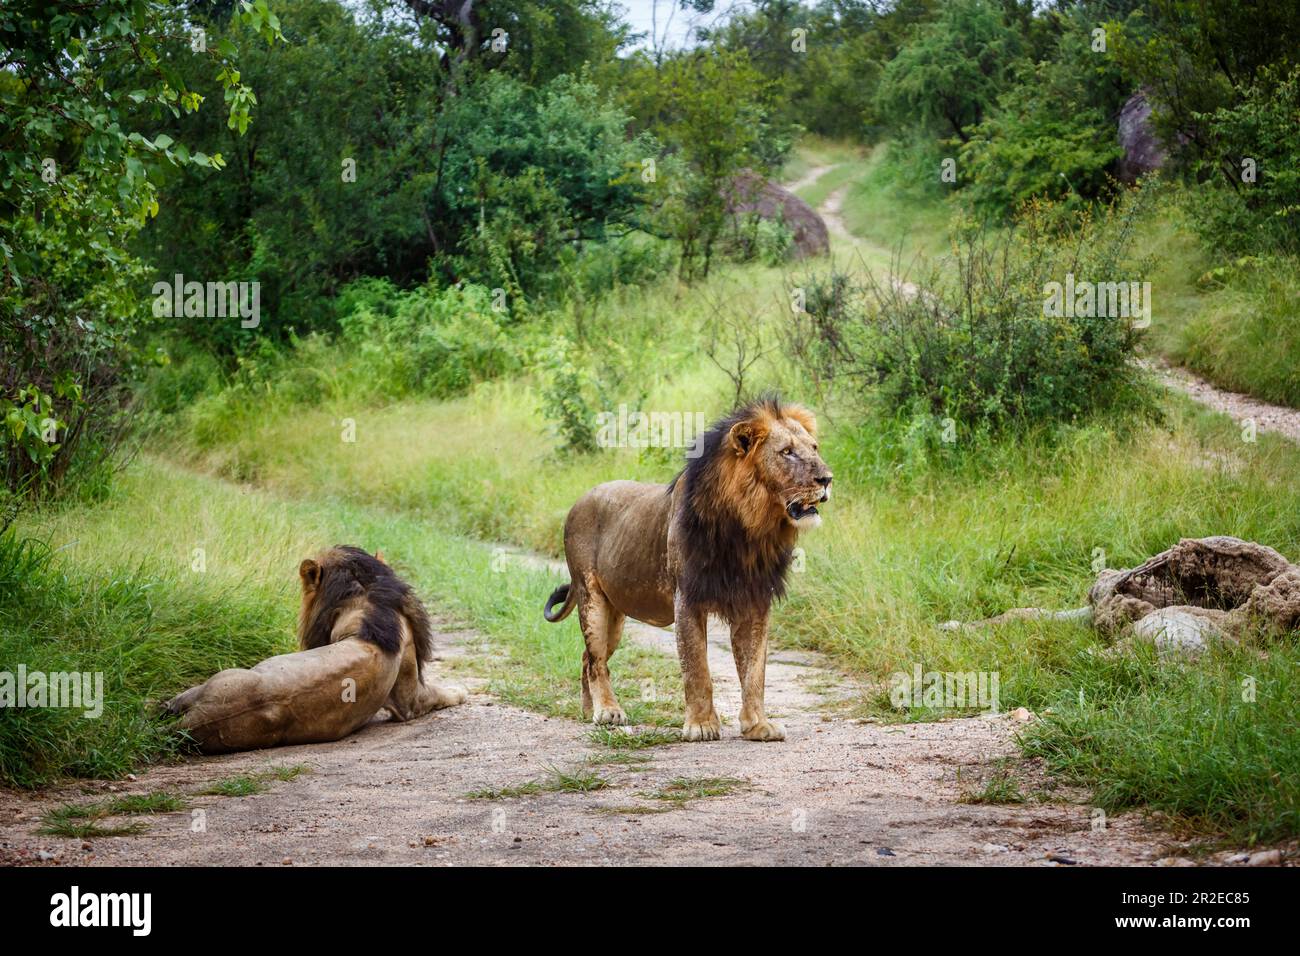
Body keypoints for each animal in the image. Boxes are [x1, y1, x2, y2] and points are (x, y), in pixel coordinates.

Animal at [165, 546, 466, 753]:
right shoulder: (409, 699)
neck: (366, 600)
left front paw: (461, 691)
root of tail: (200, 719)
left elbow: (440, 693)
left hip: (216, 680)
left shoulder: (409, 702)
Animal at [543, 397, 832, 742]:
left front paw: (758, 725)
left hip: (615, 617)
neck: (750, 528)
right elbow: (697, 668)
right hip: (592, 601)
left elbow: (754, 671)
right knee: (597, 660)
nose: (827, 479)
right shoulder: (688, 598)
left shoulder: (755, 601)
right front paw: (702, 725)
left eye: (814, 447)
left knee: (588, 658)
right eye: (786, 451)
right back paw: (607, 711)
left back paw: (589, 711)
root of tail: (579, 500)